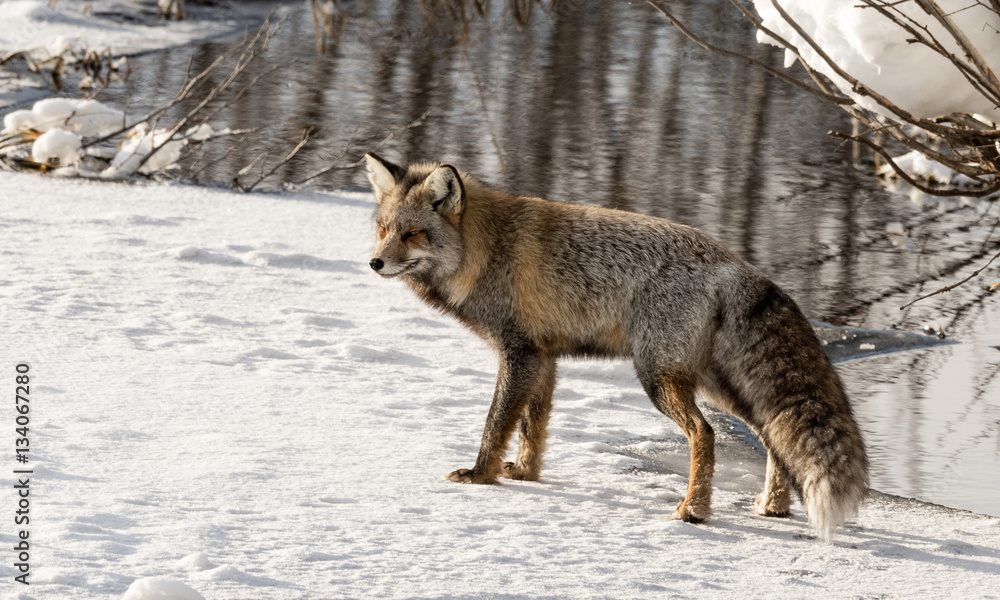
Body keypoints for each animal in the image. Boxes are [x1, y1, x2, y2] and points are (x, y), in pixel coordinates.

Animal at [364, 152, 869, 541]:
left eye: (413, 234)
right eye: (384, 229)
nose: (374, 263)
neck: (487, 250)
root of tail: (737, 265)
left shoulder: (519, 351)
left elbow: (496, 423)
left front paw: (479, 476)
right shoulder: (544, 356)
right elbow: (533, 428)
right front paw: (526, 475)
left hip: (658, 377)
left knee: (705, 434)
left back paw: (693, 510)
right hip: (712, 383)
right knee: (768, 434)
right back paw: (773, 506)